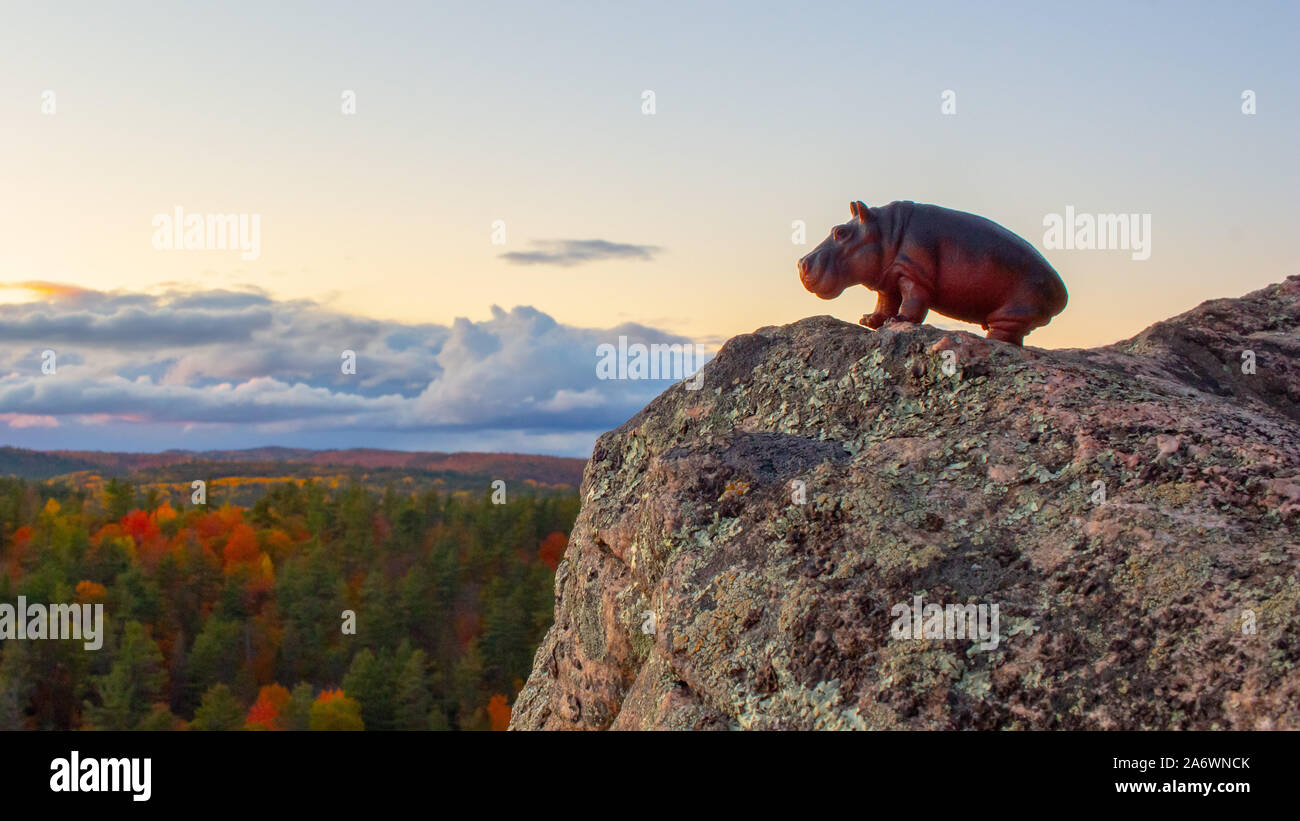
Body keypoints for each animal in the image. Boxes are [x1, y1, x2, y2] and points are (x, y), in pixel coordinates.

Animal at [798, 200, 1068, 346]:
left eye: (841, 232)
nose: (802, 262)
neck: (887, 231)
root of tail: (1062, 294)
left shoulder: (914, 275)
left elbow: (912, 301)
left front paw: (898, 321)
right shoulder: (888, 278)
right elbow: (885, 301)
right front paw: (869, 321)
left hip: (1014, 311)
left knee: (1004, 334)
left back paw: (989, 340)